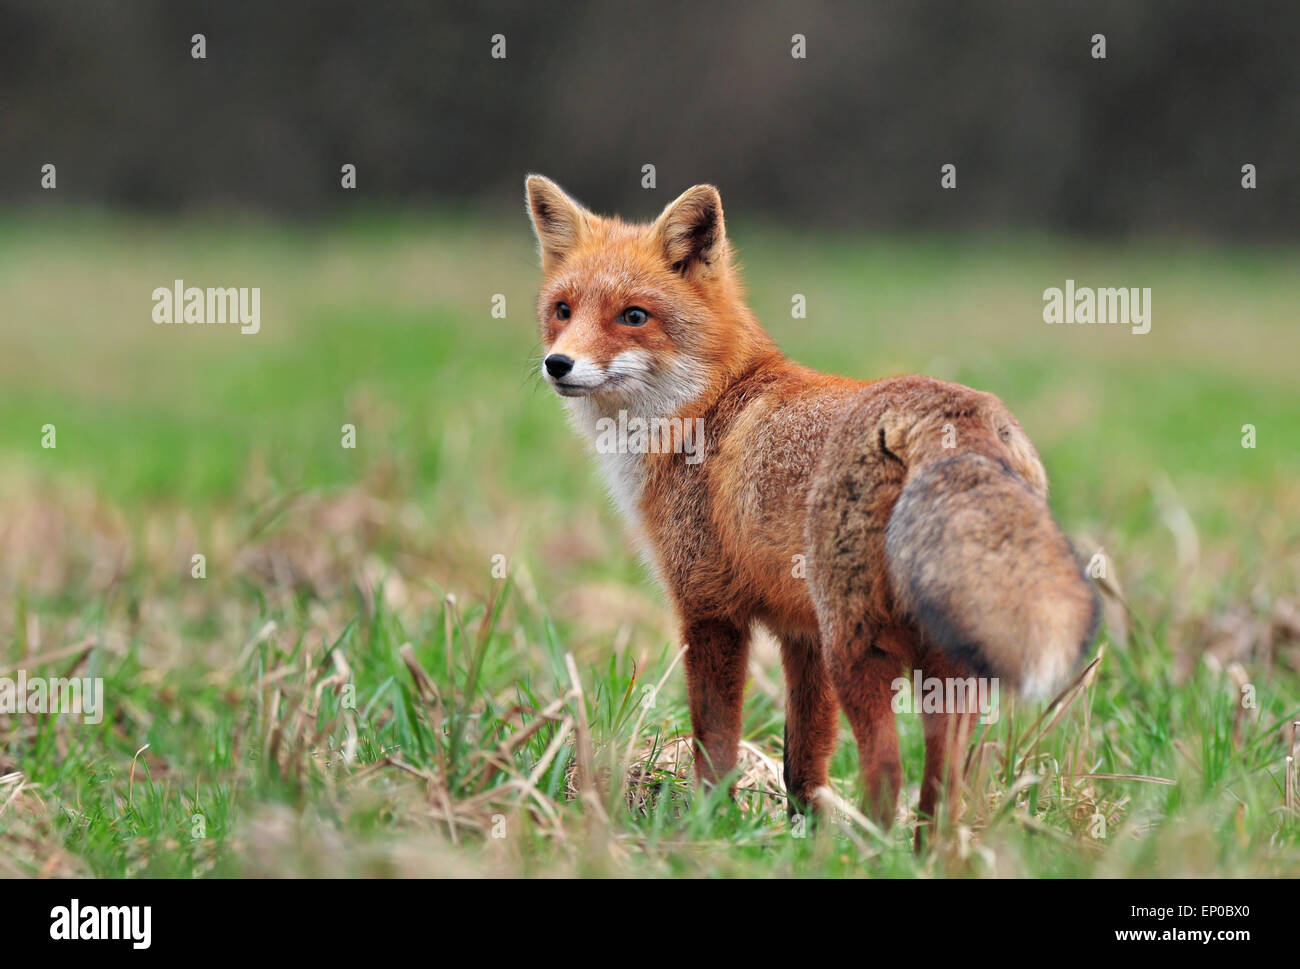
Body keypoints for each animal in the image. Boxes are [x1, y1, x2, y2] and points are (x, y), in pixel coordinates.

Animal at [524, 174, 1099, 842]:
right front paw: (800, 831)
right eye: (563, 311)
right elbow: (804, 760)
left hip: (859, 651)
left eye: (634, 316)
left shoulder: (710, 610)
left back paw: (870, 852)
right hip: (939, 666)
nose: (558, 364)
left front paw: (709, 828)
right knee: (943, 787)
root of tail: (953, 415)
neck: (707, 406)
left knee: (887, 772)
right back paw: (926, 852)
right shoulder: (801, 633)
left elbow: (716, 744)